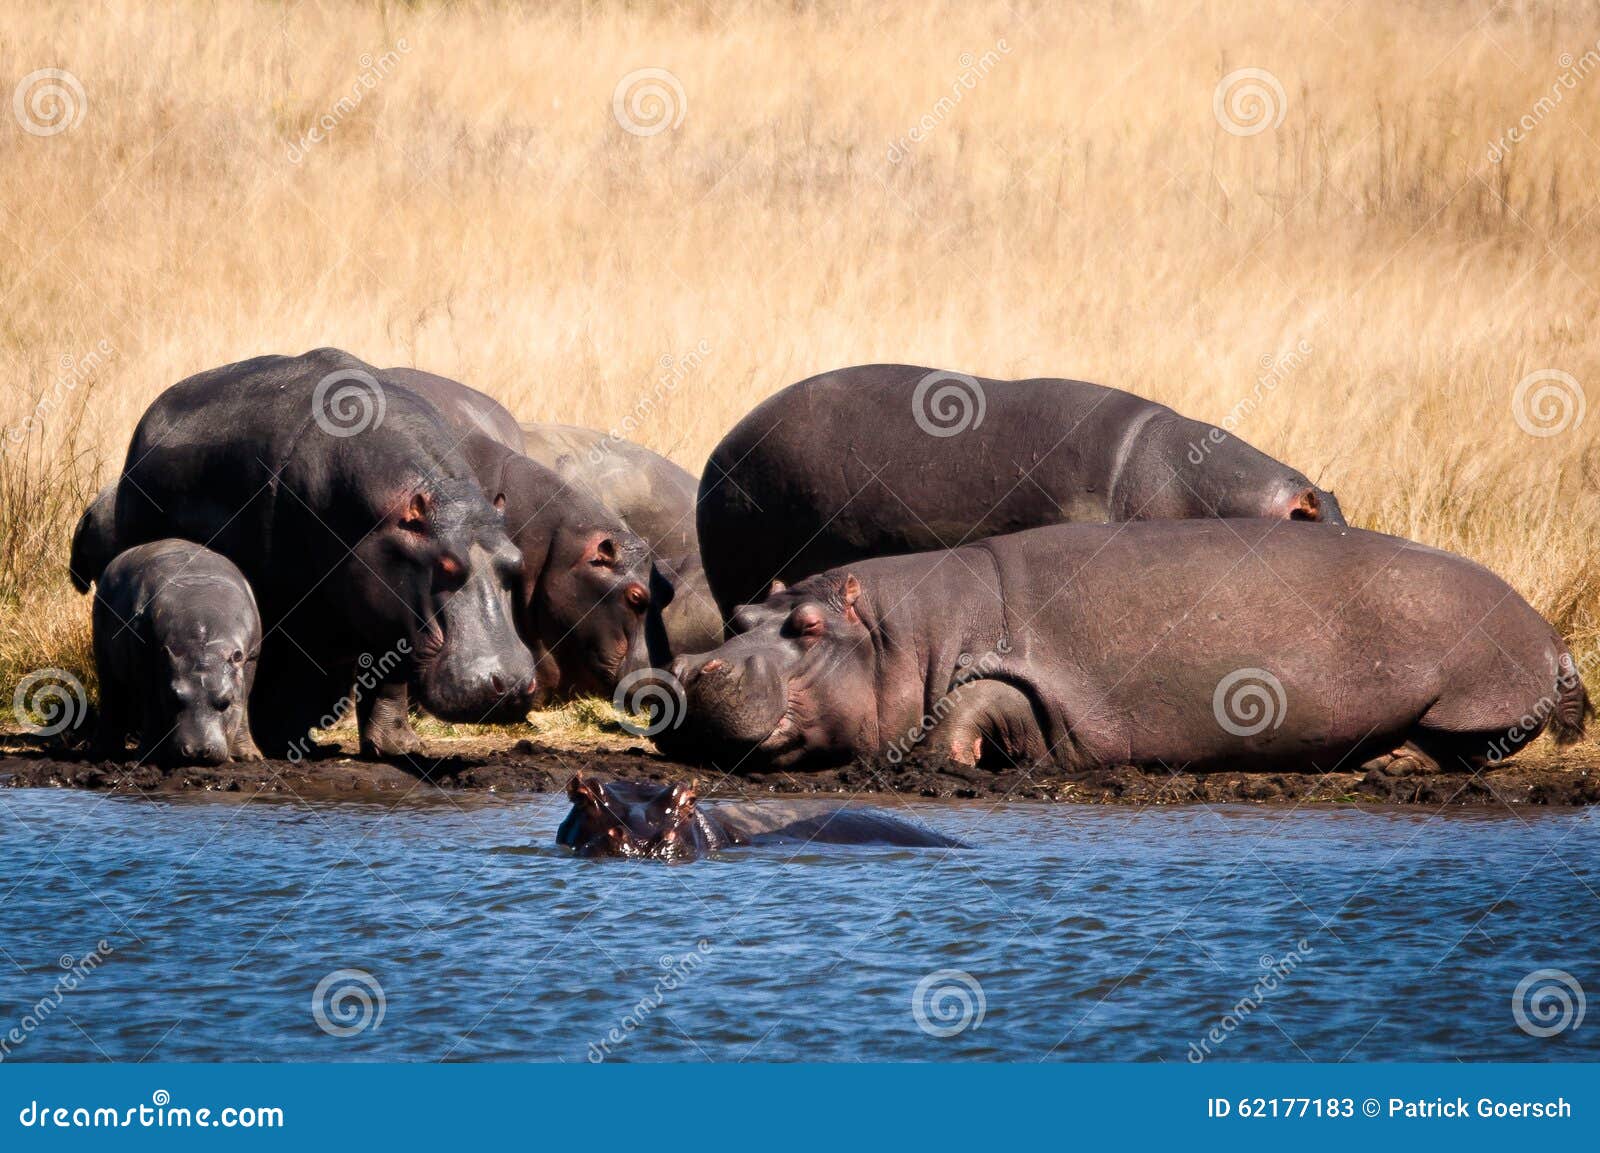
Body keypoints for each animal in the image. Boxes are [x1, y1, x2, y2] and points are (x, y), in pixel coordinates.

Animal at [91, 540, 262, 764]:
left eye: (225, 702)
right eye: (174, 698)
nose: (198, 751)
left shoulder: (249, 659)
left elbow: (243, 706)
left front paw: (251, 757)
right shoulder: (144, 661)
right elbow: (151, 705)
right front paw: (147, 757)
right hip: (104, 658)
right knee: (112, 697)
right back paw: (104, 752)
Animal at [111, 348, 538, 758]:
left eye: (516, 562)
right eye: (445, 565)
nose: (512, 683)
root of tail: (152, 415)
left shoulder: (392, 613)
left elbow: (389, 679)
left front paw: (398, 747)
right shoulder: (298, 603)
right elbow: (294, 675)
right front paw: (287, 744)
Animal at [656, 520, 1588, 775]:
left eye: (809, 630)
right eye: (740, 614)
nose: (693, 669)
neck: (901, 635)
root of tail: (1549, 628)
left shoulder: (1014, 674)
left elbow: (970, 703)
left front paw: (943, 765)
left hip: (1473, 689)